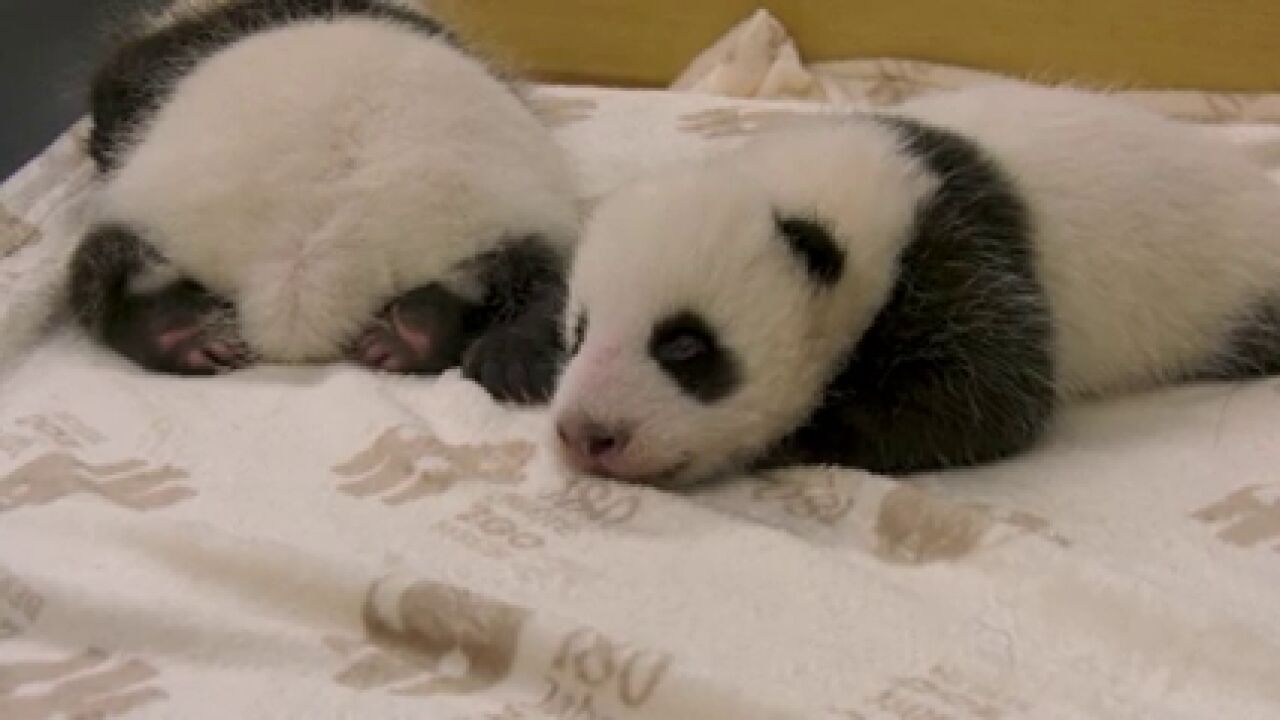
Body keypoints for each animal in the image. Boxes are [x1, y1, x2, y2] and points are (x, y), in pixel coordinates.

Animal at [551, 84, 1280, 485]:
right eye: (579, 333)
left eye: (684, 346)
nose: (587, 434)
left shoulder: (956, 246)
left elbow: (993, 398)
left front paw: (796, 438)